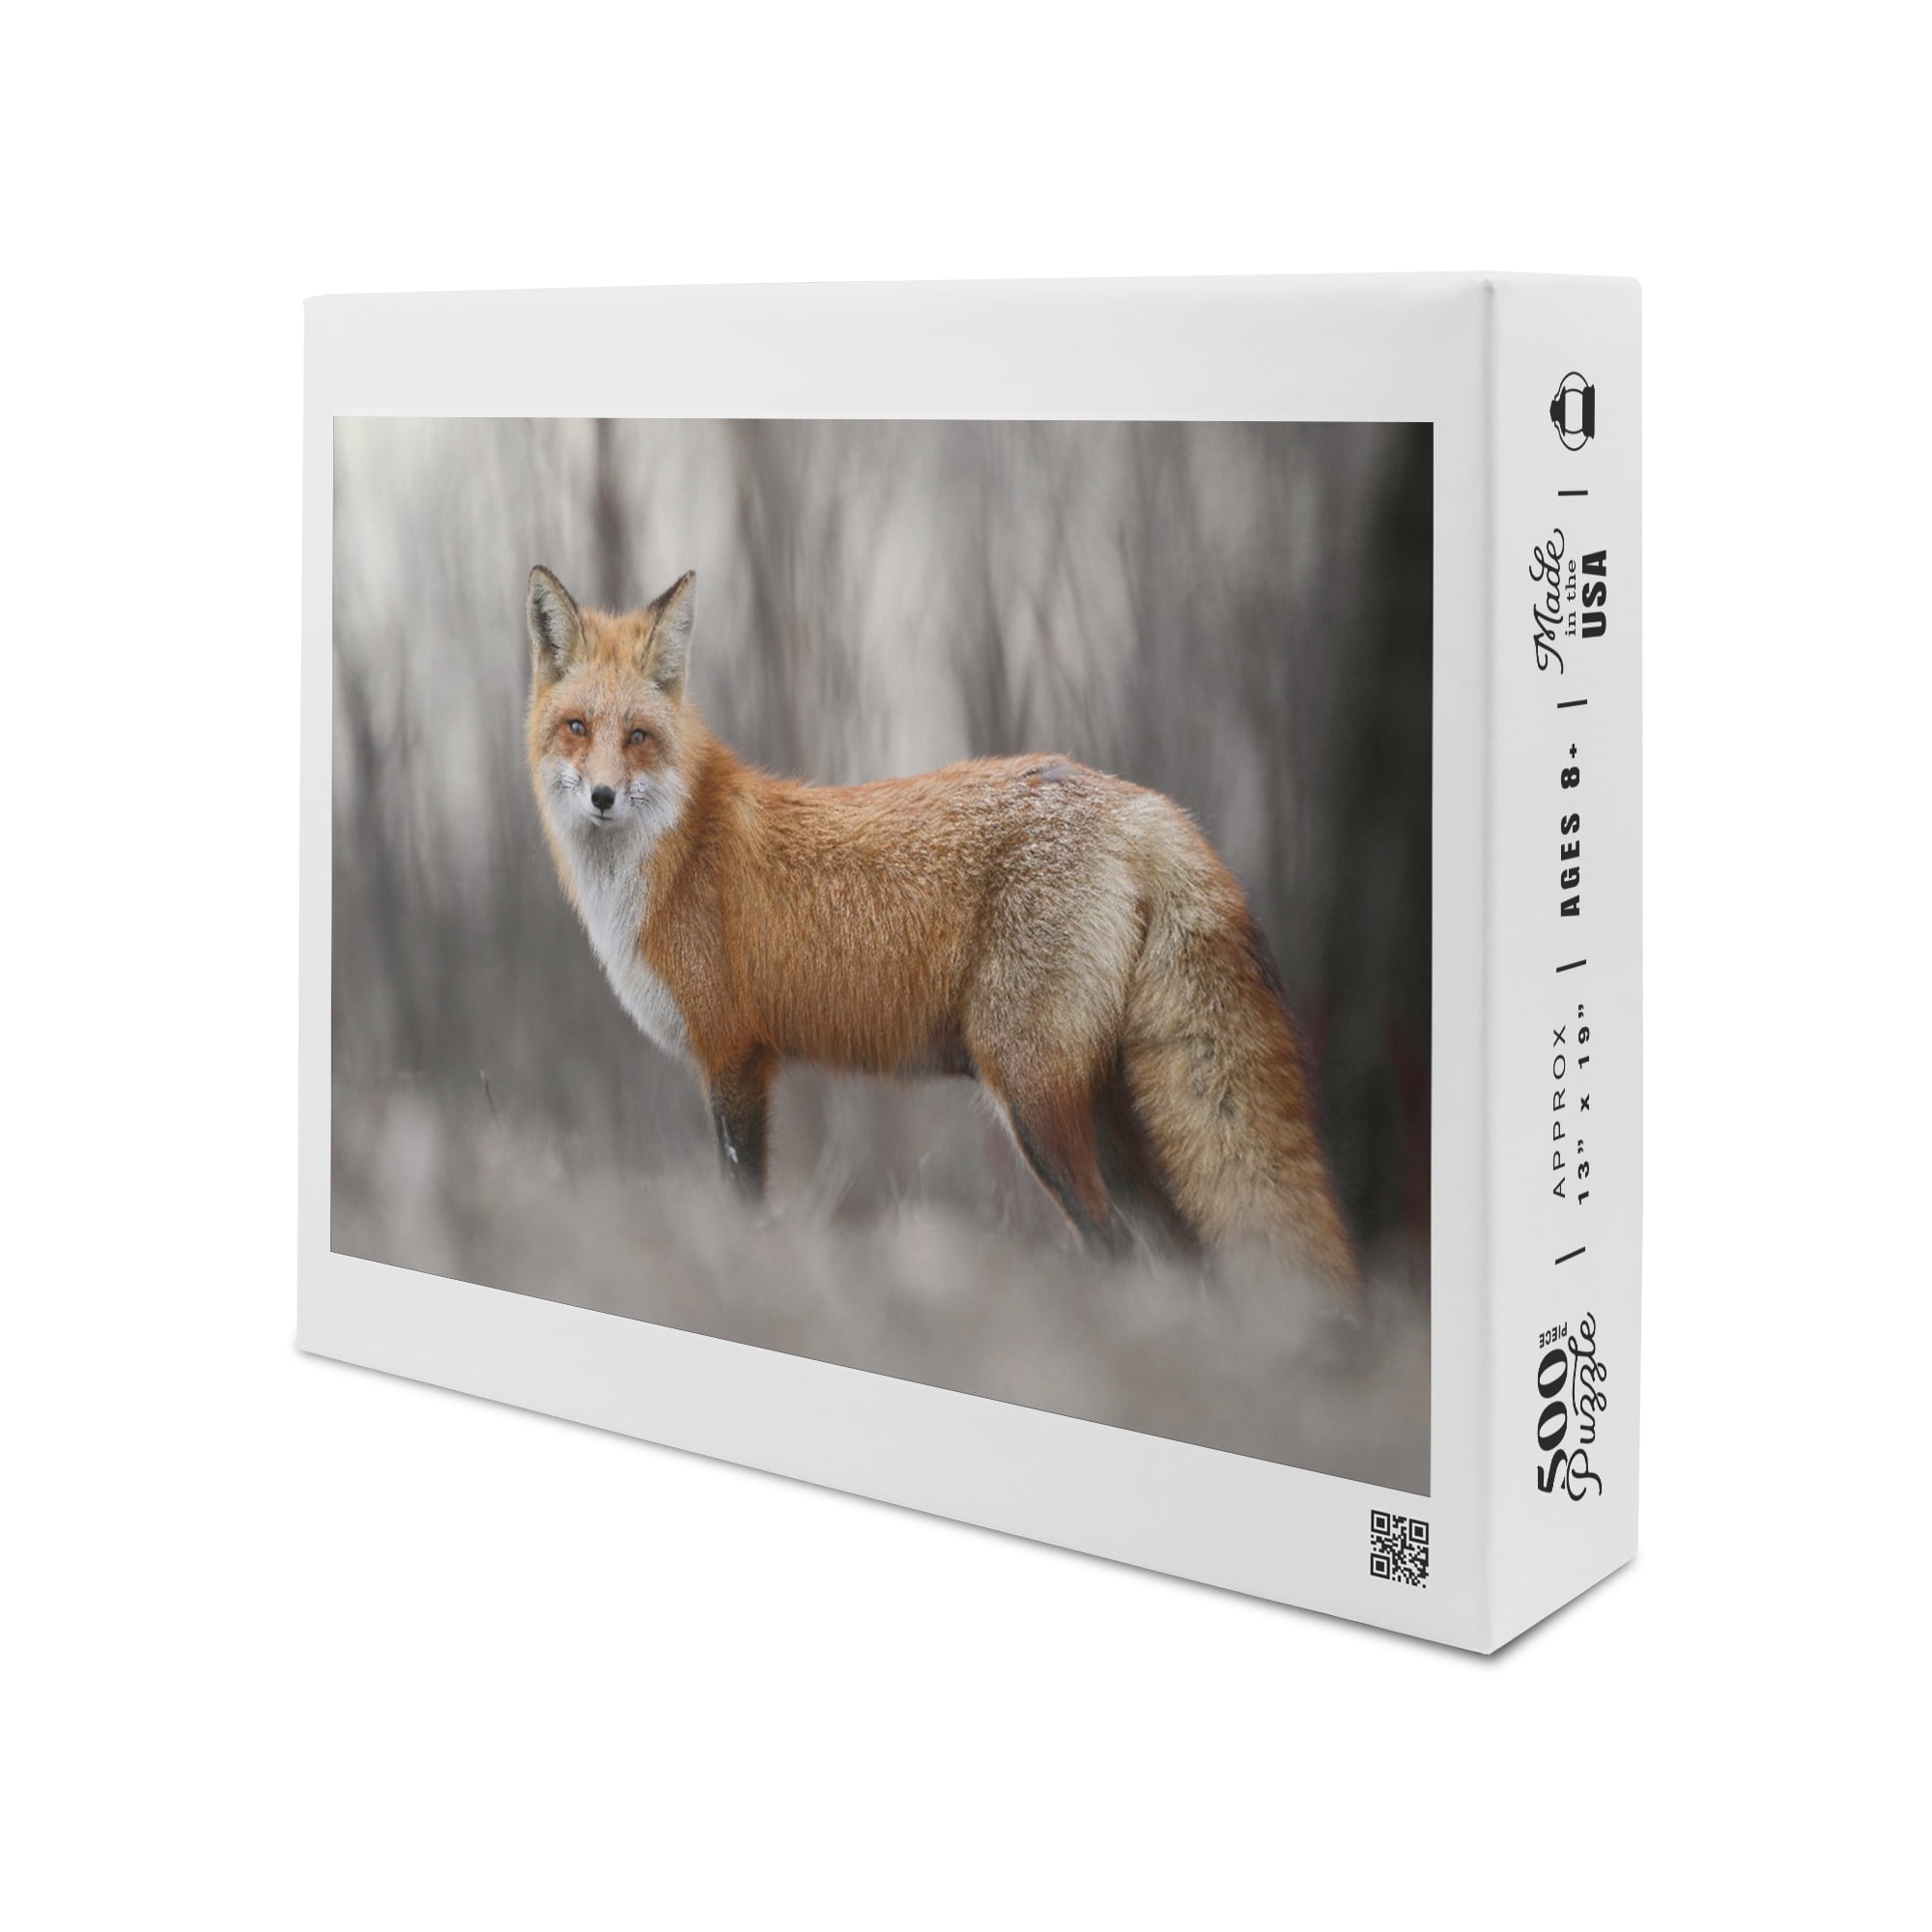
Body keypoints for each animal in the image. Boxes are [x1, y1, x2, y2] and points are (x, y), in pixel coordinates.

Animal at [525, 563, 1361, 1293]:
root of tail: (1141, 803)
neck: (671, 857)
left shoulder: (734, 1055)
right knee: (1184, 1256)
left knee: (1114, 1243)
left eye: (637, 736)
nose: (602, 797)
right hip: (1109, 1117)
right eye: (577, 727)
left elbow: (744, 1203)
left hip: (1032, 1099)